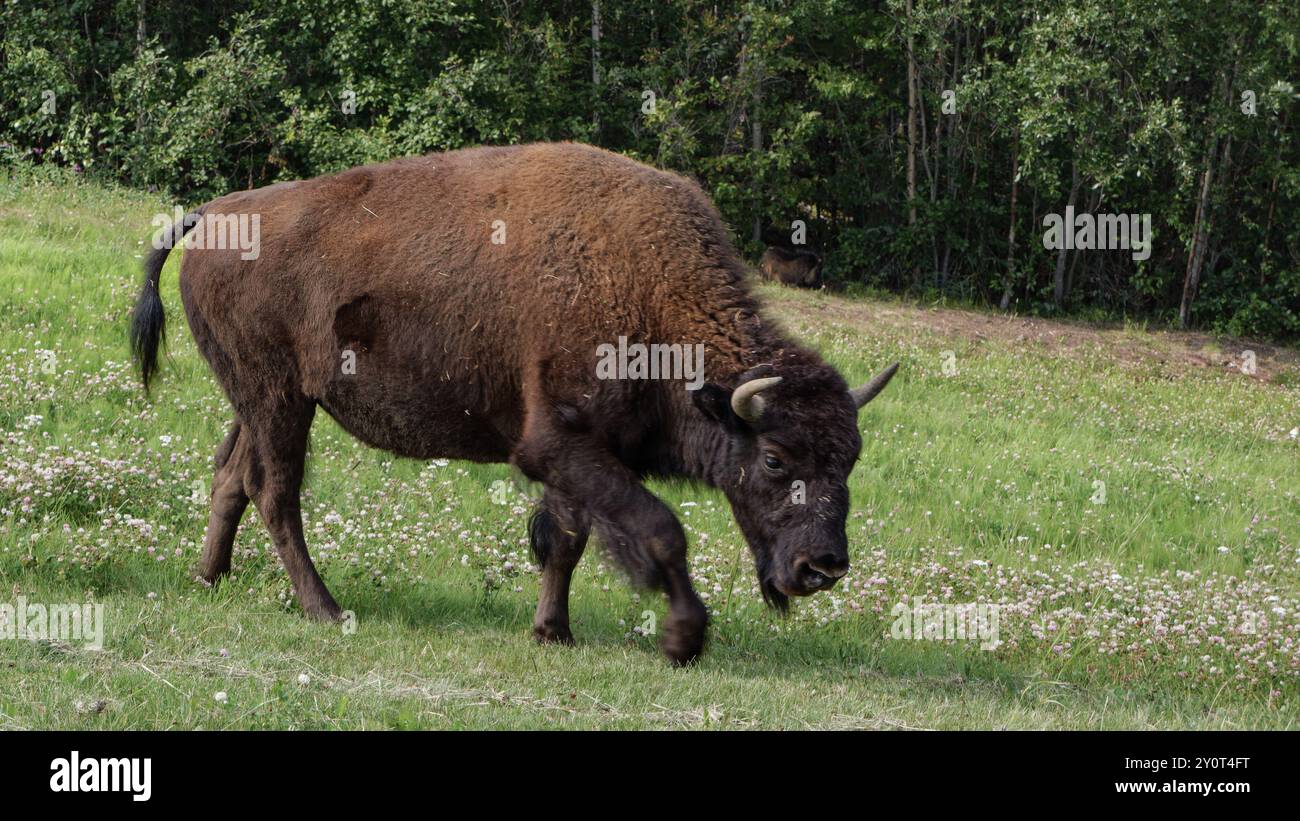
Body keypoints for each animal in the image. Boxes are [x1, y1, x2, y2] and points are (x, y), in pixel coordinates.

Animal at [130, 142, 897, 664]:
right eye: (774, 458)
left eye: (851, 460)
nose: (823, 566)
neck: (648, 291)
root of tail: (215, 215)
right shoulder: (557, 445)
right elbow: (660, 531)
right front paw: (684, 638)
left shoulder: (583, 456)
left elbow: (567, 540)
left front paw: (552, 631)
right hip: (280, 400)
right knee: (275, 490)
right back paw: (324, 608)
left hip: (258, 402)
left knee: (231, 477)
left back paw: (208, 578)